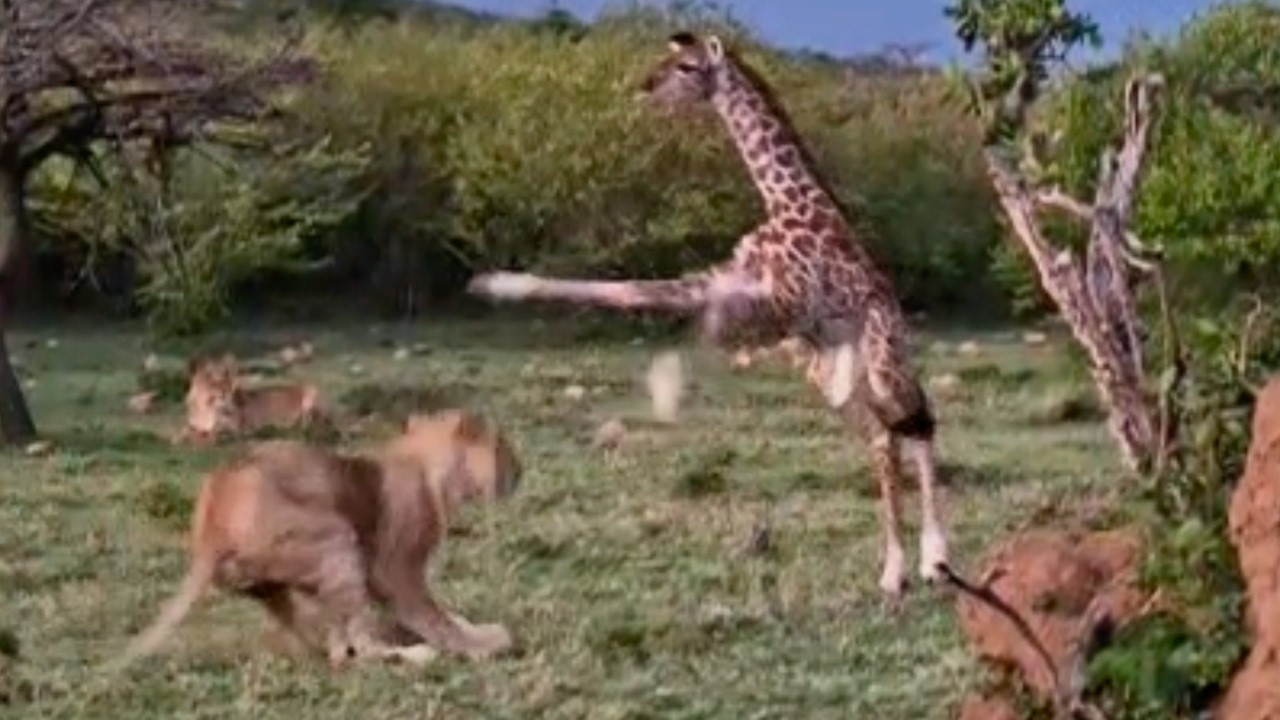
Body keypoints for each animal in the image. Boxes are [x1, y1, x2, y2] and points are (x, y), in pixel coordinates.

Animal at [118, 408, 522, 671]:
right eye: (501, 446)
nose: (520, 470)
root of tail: (209, 531)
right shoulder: (395, 570)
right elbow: (434, 617)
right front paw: (480, 645)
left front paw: (478, 629)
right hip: (336, 542)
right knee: (356, 649)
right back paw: (418, 655)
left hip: (281, 580)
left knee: (332, 644)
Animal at [177, 354, 330, 445]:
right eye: (210, 380)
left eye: (226, 378)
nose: (224, 391)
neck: (207, 408)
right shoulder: (192, 424)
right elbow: (185, 431)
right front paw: (180, 438)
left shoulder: (236, 427)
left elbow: (212, 433)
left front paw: (198, 438)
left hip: (311, 390)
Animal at [467, 31, 948, 605]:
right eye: (670, 61)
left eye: (687, 67)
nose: (645, 87)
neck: (789, 201)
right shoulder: (731, 290)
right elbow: (631, 292)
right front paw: (496, 283)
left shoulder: (778, 304)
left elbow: (689, 323)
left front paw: (665, 389)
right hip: (834, 380)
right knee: (884, 439)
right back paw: (896, 570)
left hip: (883, 361)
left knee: (918, 423)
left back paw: (931, 560)